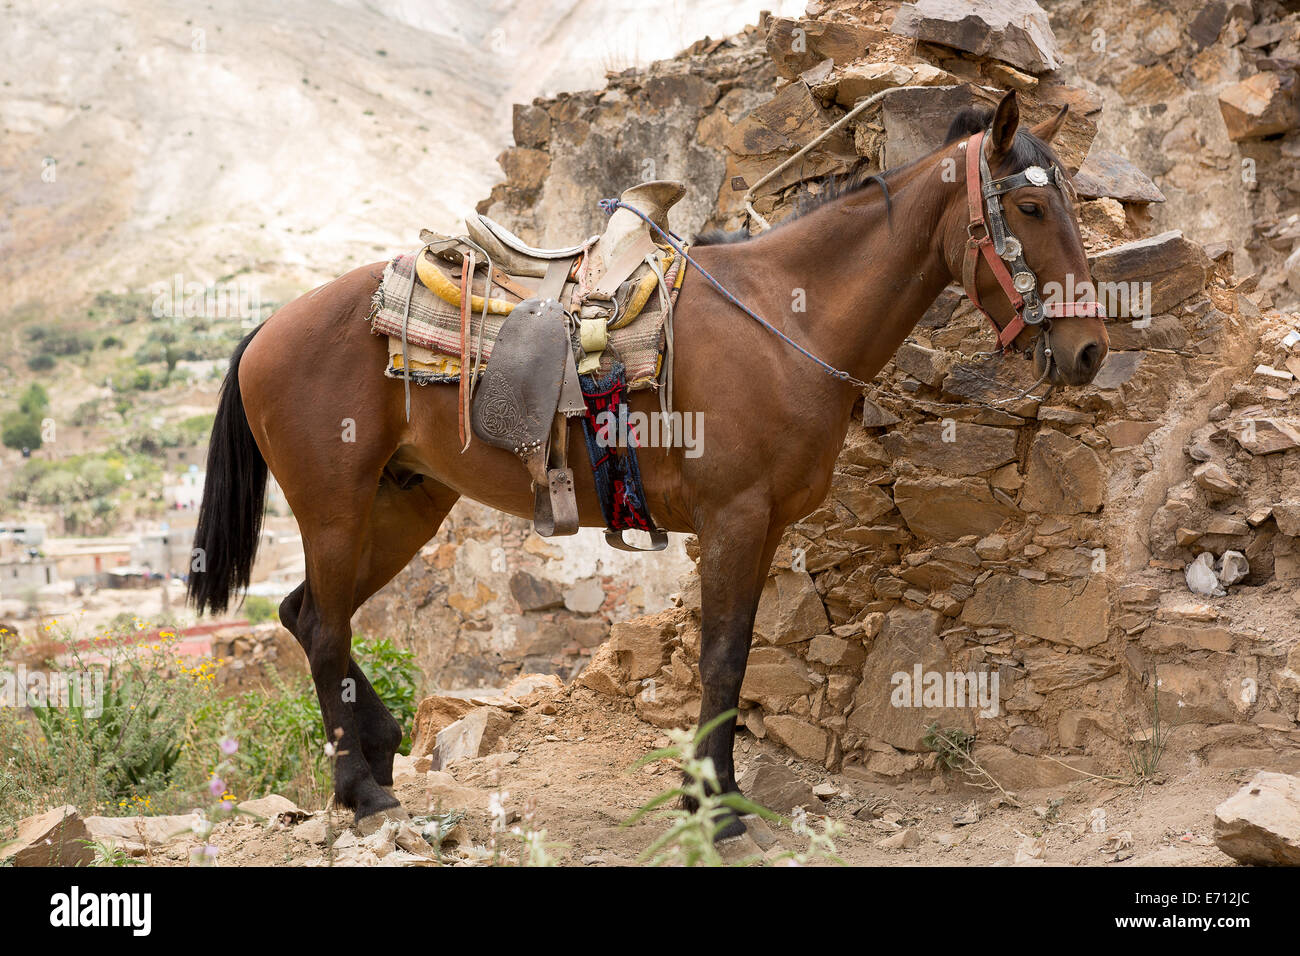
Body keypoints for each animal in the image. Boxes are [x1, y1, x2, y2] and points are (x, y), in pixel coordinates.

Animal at [188, 90, 1109, 839]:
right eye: (1031, 205)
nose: (1090, 350)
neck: (784, 321)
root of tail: (269, 328)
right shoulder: (734, 517)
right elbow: (723, 660)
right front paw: (716, 808)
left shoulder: (763, 526)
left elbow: (736, 656)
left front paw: (716, 794)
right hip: (335, 506)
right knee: (325, 627)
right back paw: (364, 792)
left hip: (403, 503)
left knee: (307, 614)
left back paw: (377, 757)